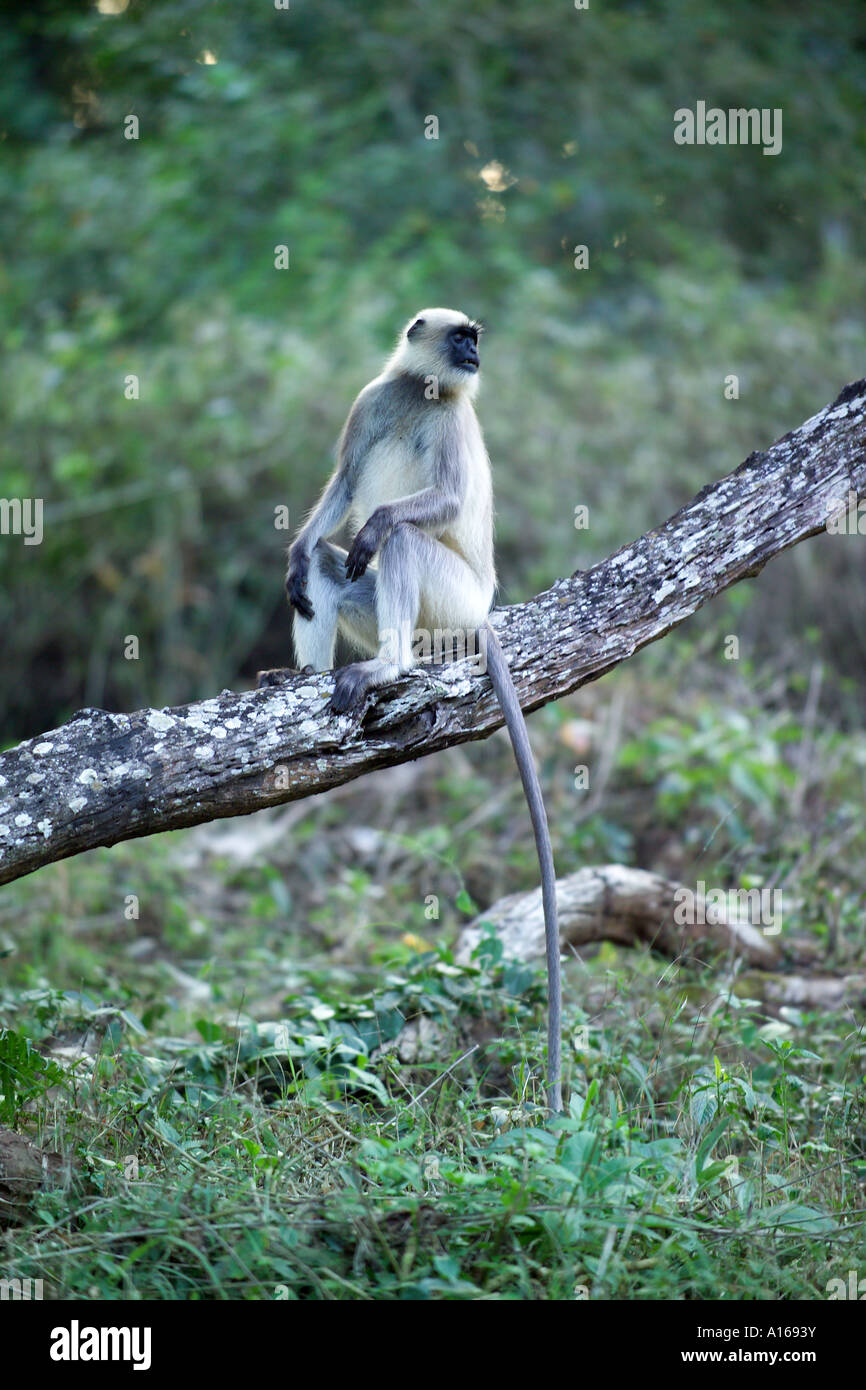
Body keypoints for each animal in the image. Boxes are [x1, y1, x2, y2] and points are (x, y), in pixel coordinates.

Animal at [281, 308, 562, 1112]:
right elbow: (343, 487)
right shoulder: (373, 398)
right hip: (382, 603)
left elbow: (429, 504)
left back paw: (390, 666)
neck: (421, 393)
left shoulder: (457, 417)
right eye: (462, 336)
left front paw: (379, 522)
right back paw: (300, 675)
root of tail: (484, 614)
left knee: (400, 535)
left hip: (454, 596)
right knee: (327, 567)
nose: (473, 354)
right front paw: (296, 551)